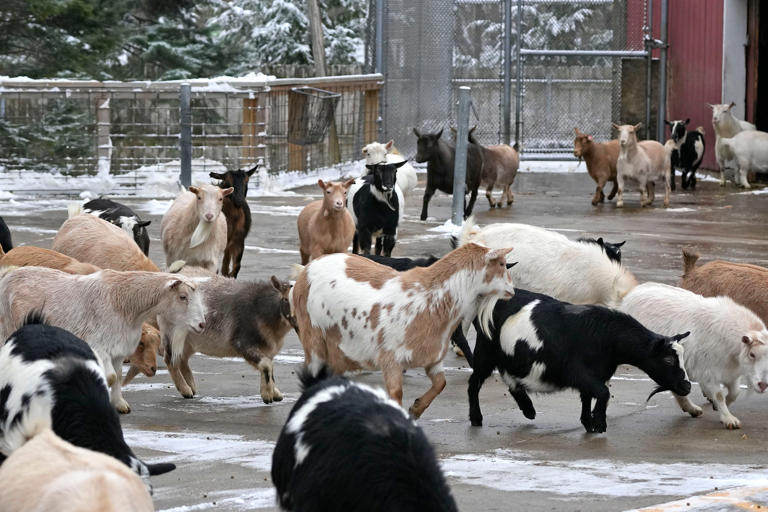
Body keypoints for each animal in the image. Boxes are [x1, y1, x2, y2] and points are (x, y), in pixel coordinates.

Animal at [0, 267, 206, 414]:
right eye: (183, 297)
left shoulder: (118, 351)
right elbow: (112, 376)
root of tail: (7, 277)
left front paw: (120, 404)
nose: (202, 324)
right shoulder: (99, 346)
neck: (125, 305)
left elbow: (118, 376)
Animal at [290, 243, 514, 418]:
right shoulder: (391, 360)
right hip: (314, 339)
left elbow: (440, 384)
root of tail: (305, 270)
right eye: (501, 264)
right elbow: (396, 393)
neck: (430, 296)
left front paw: (416, 409)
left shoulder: (433, 359)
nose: (512, 290)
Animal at [468, 289, 691, 433]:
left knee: (511, 379)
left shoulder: (593, 375)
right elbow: (603, 392)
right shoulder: (579, 372)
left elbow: (588, 396)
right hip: (485, 352)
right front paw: (600, 424)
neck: (605, 336)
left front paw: (588, 424)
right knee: (475, 382)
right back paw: (477, 419)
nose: (687, 386)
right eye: (668, 359)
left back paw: (529, 410)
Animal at [620, 282, 768, 429]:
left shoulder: (730, 373)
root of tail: (630, 295)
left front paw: (720, 407)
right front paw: (728, 419)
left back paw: (692, 409)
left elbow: (735, 392)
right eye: (752, 354)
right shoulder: (709, 373)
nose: (763, 385)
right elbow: (719, 395)